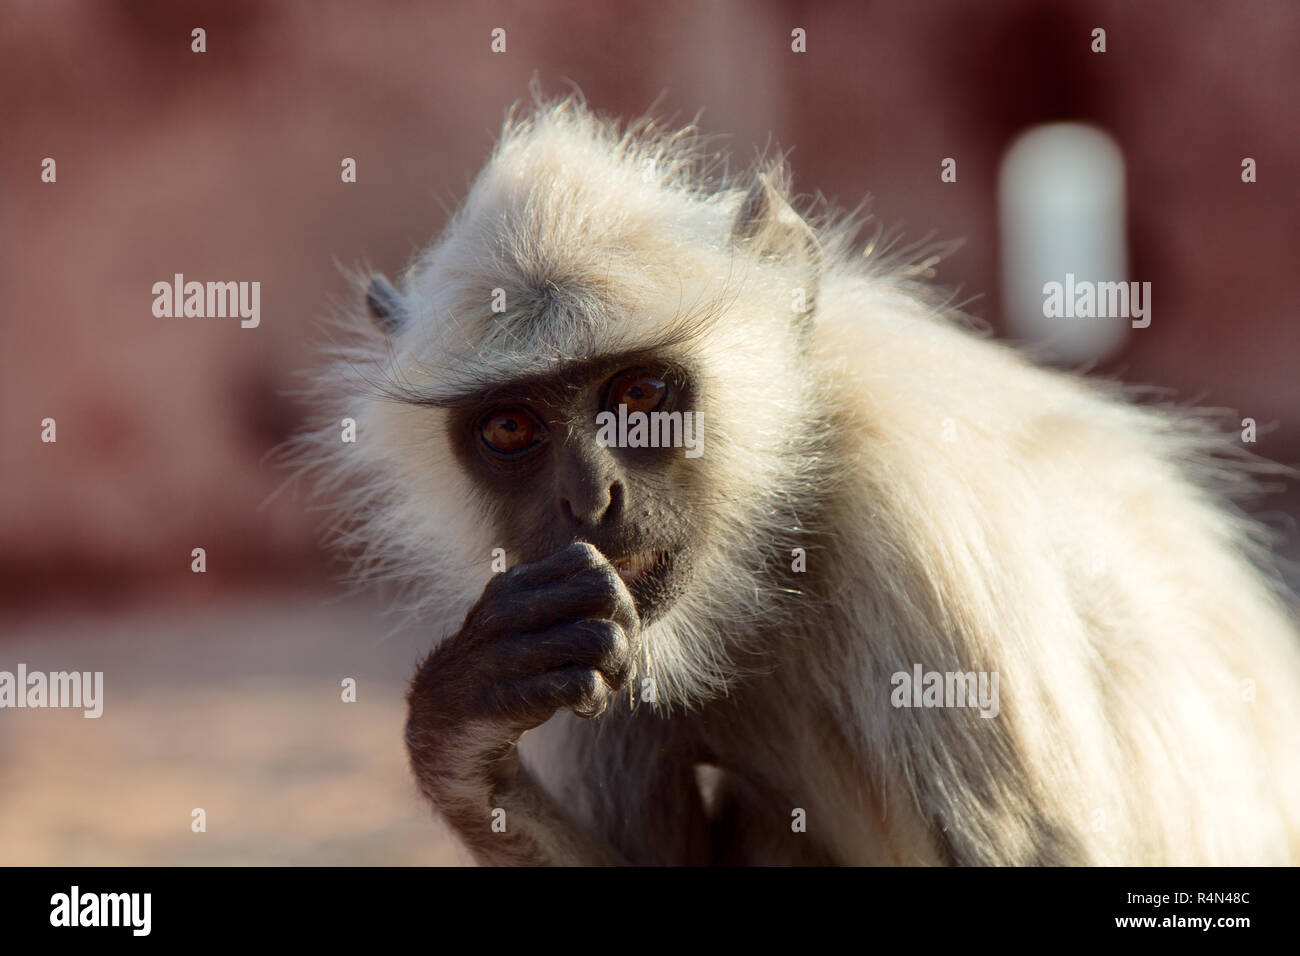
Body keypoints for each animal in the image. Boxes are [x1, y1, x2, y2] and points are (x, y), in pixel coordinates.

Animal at [294, 97, 1300, 865]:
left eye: (642, 395)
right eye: (511, 429)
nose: (590, 498)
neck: (777, 529)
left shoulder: (918, 517)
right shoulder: (567, 600)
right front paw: (462, 729)